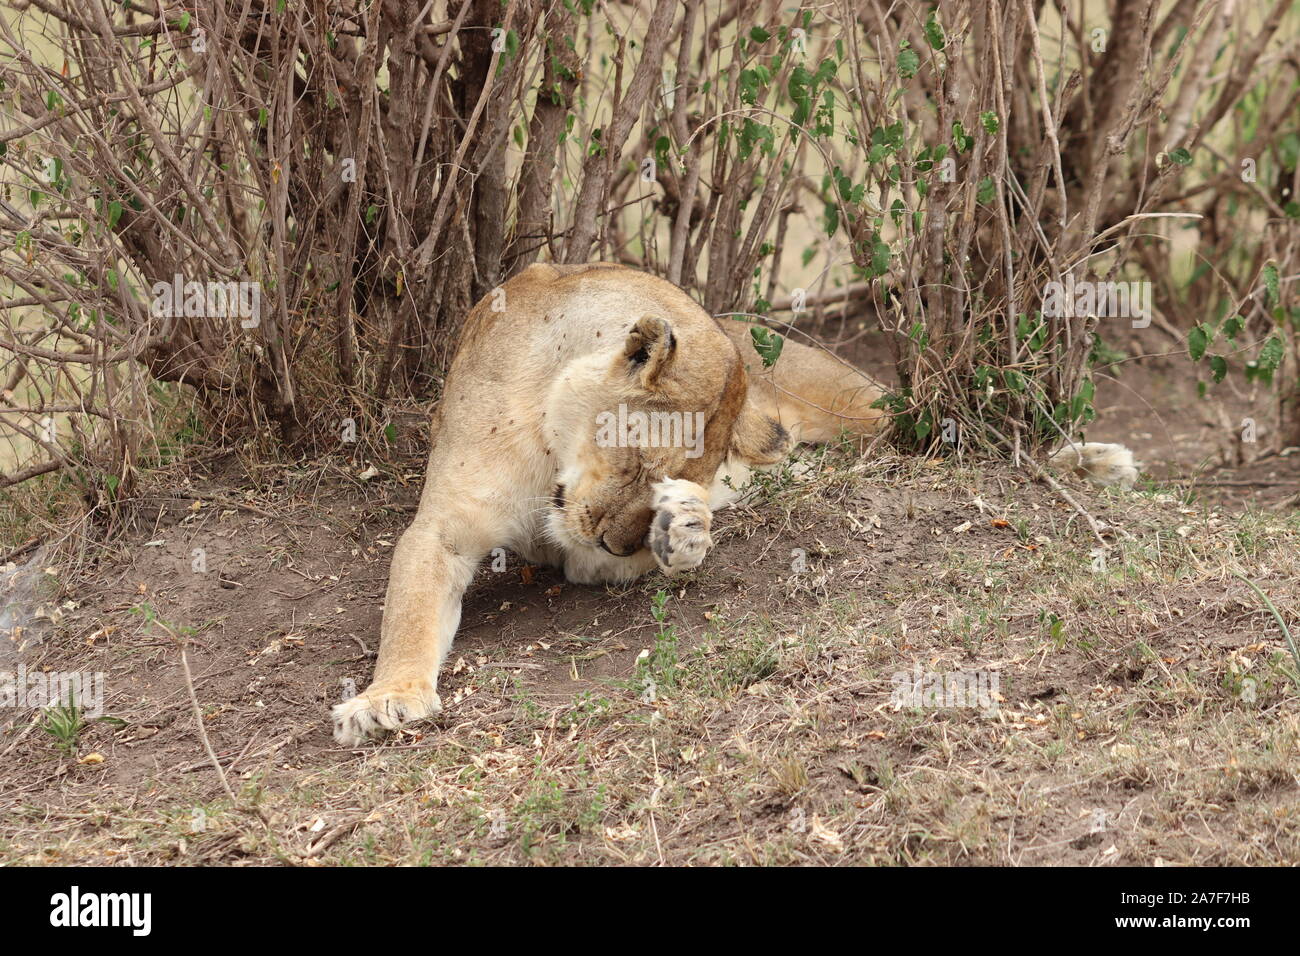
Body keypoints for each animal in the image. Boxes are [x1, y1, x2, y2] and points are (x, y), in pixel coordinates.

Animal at [332, 262, 1135, 745]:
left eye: (664, 481)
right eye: (639, 464)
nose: (622, 541)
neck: (548, 436)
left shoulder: (583, 548)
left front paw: (686, 530)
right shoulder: (445, 529)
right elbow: (408, 614)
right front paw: (385, 699)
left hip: (855, 408)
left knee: (947, 438)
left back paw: (1094, 463)